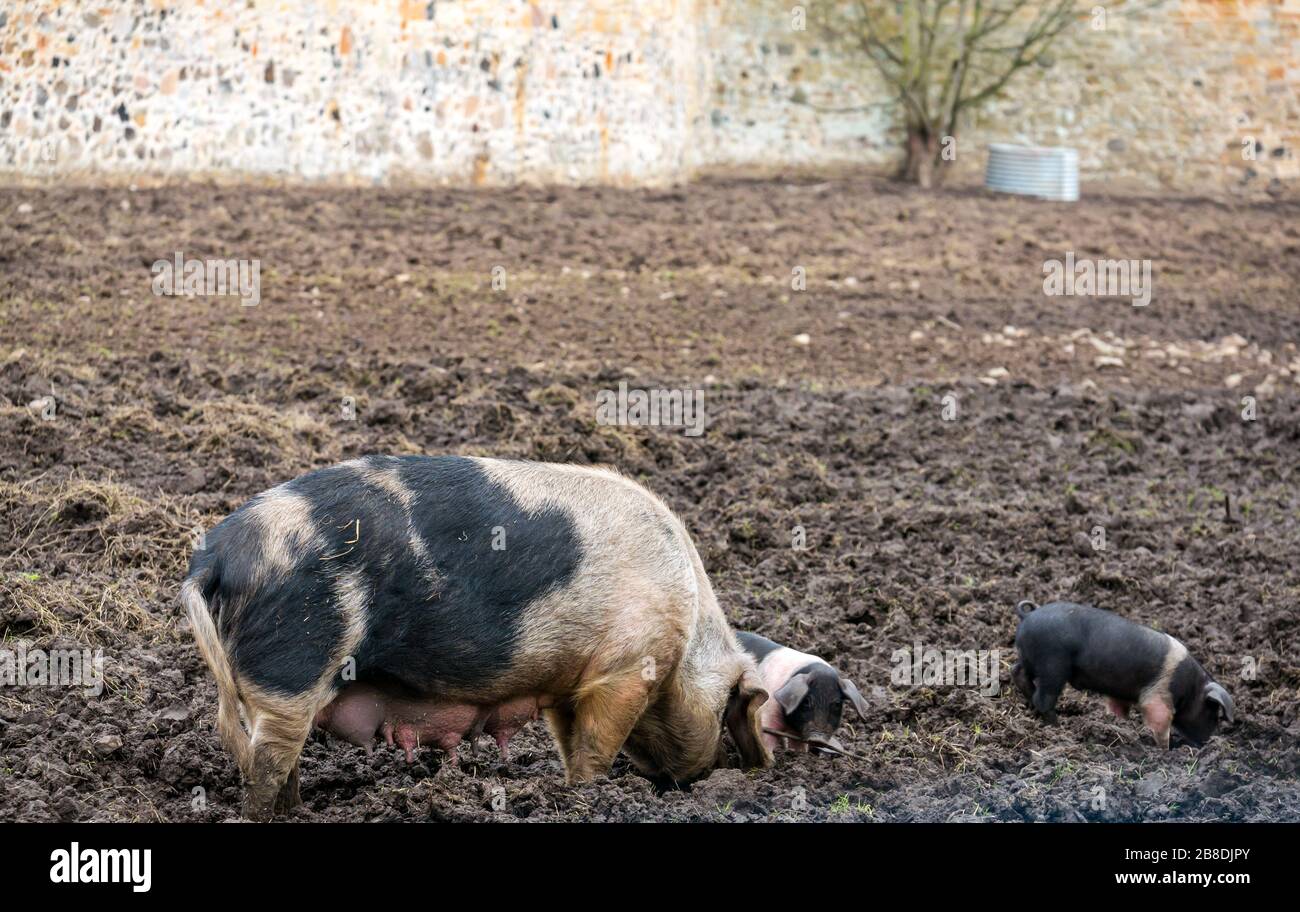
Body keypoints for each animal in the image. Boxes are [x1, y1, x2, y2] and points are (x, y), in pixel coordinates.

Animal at [182, 455, 772, 819]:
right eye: (726, 714)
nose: (699, 779)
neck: (688, 635)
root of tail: (215, 558)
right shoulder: (626, 668)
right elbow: (598, 746)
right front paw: (589, 794)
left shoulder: (569, 682)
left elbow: (570, 741)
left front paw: (569, 787)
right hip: (295, 664)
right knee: (264, 765)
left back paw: (299, 812)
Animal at [736, 632, 868, 756]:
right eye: (806, 701)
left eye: (837, 704)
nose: (818, 739)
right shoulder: (768, 712)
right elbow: (766, 737)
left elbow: (798, 744)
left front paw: (798, 755)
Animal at [1011, 600, 1234, 749]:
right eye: (1212, 713)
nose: (1207, 743)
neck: (1190, 687)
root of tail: (1028, 616)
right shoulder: (1157, 698)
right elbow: (1160, 723)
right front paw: (1166, 750)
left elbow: (1118, 708)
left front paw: (1120, 723)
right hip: (1053, 665)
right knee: (1043, 698)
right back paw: (1058, 728)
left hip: (1030, 659)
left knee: (1017, 673)